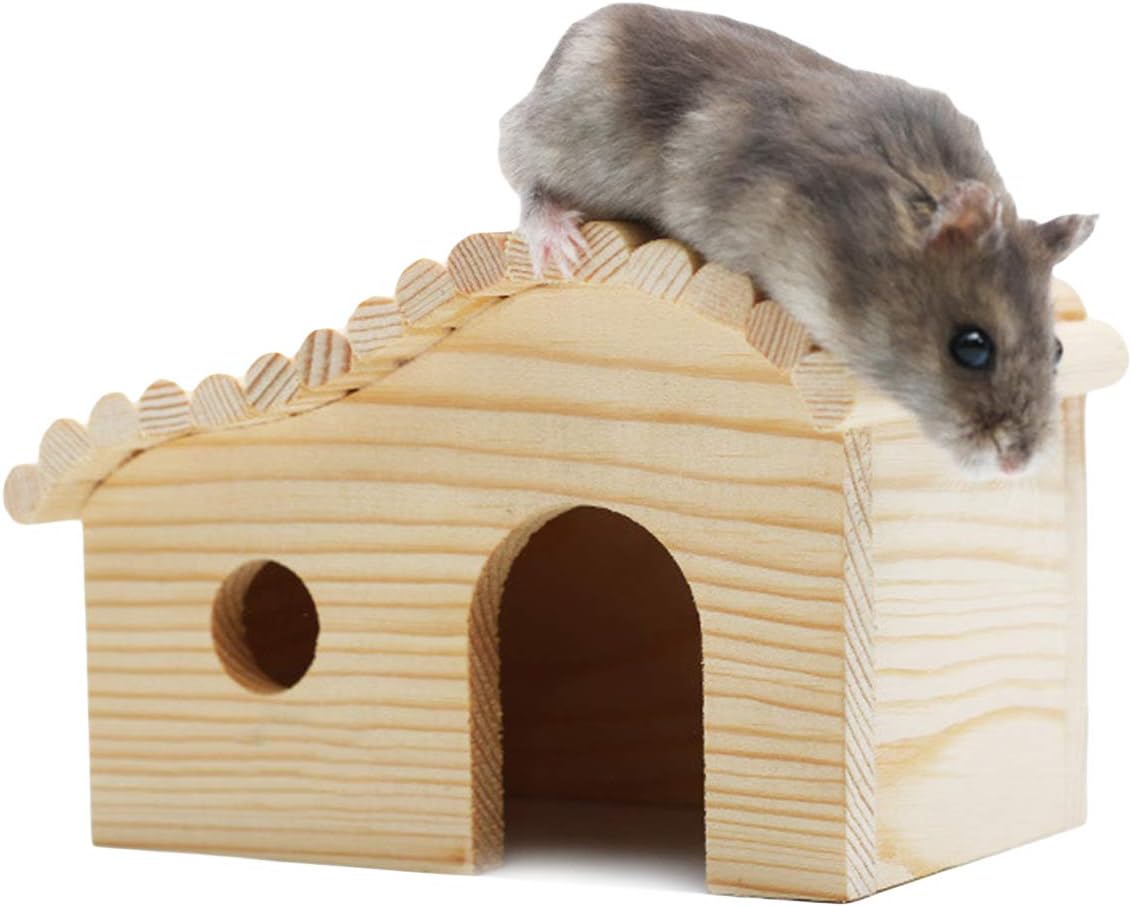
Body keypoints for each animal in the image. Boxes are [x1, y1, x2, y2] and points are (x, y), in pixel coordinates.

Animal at [498, 3, 1097, 478]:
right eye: (972, 347)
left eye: (1058, 349)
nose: (1016, 463)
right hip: (562, 132)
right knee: (523, 171)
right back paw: (558, 243)